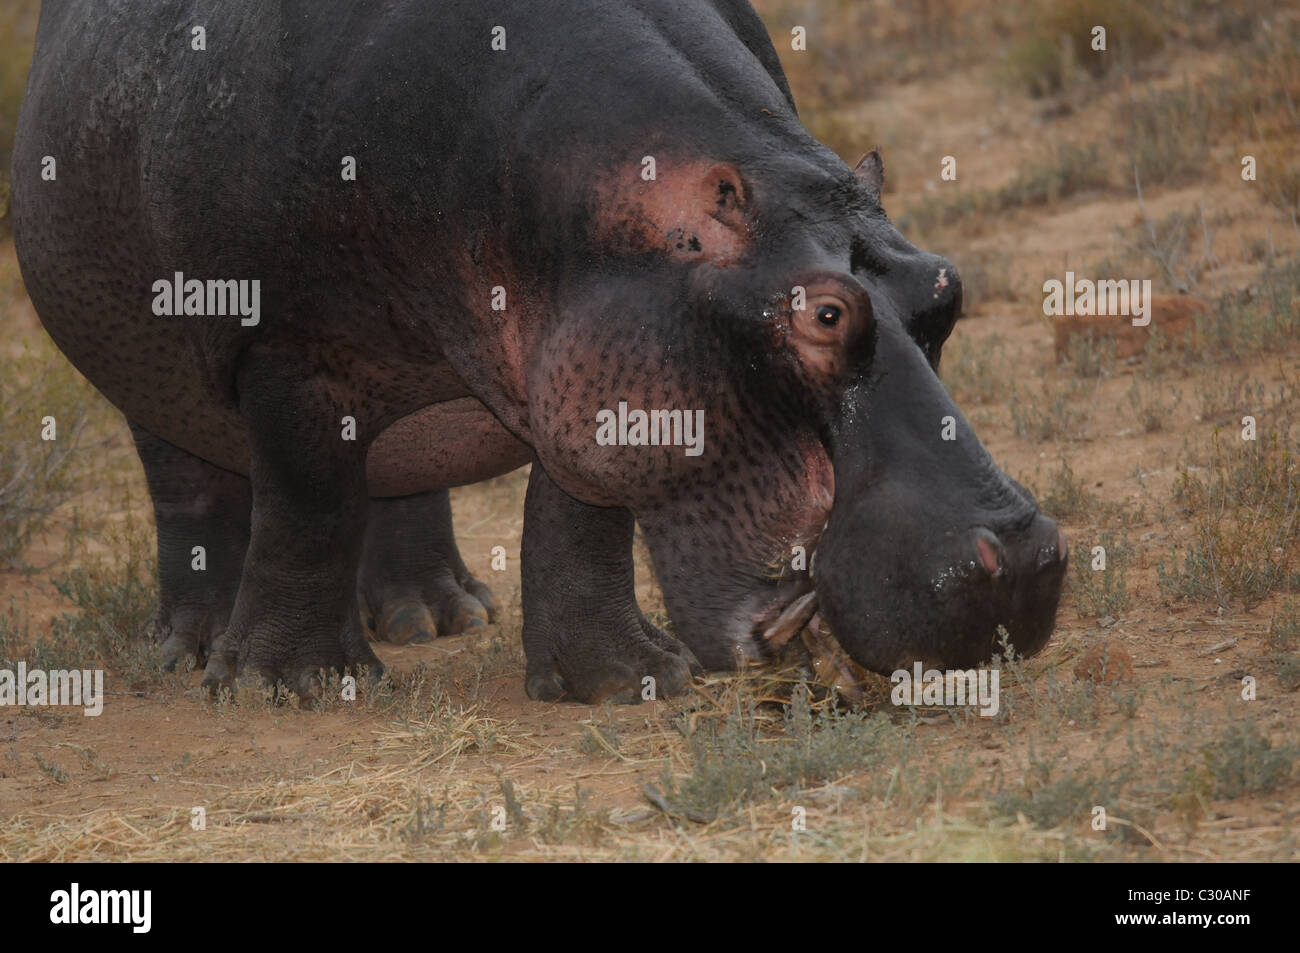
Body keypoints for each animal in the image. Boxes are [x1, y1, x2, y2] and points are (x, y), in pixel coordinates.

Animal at [12, 0, 1067, 703]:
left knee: (398, 477)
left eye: (944, 288)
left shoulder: (582, 365)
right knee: (190, 488)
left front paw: (629, 680)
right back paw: (191, 649)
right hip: (145, 370)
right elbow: (308, 508)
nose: (1023, 558)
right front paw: (291, 686)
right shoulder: (288, 355)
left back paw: (437, 618)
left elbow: (578, 523)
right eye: (825, 314)